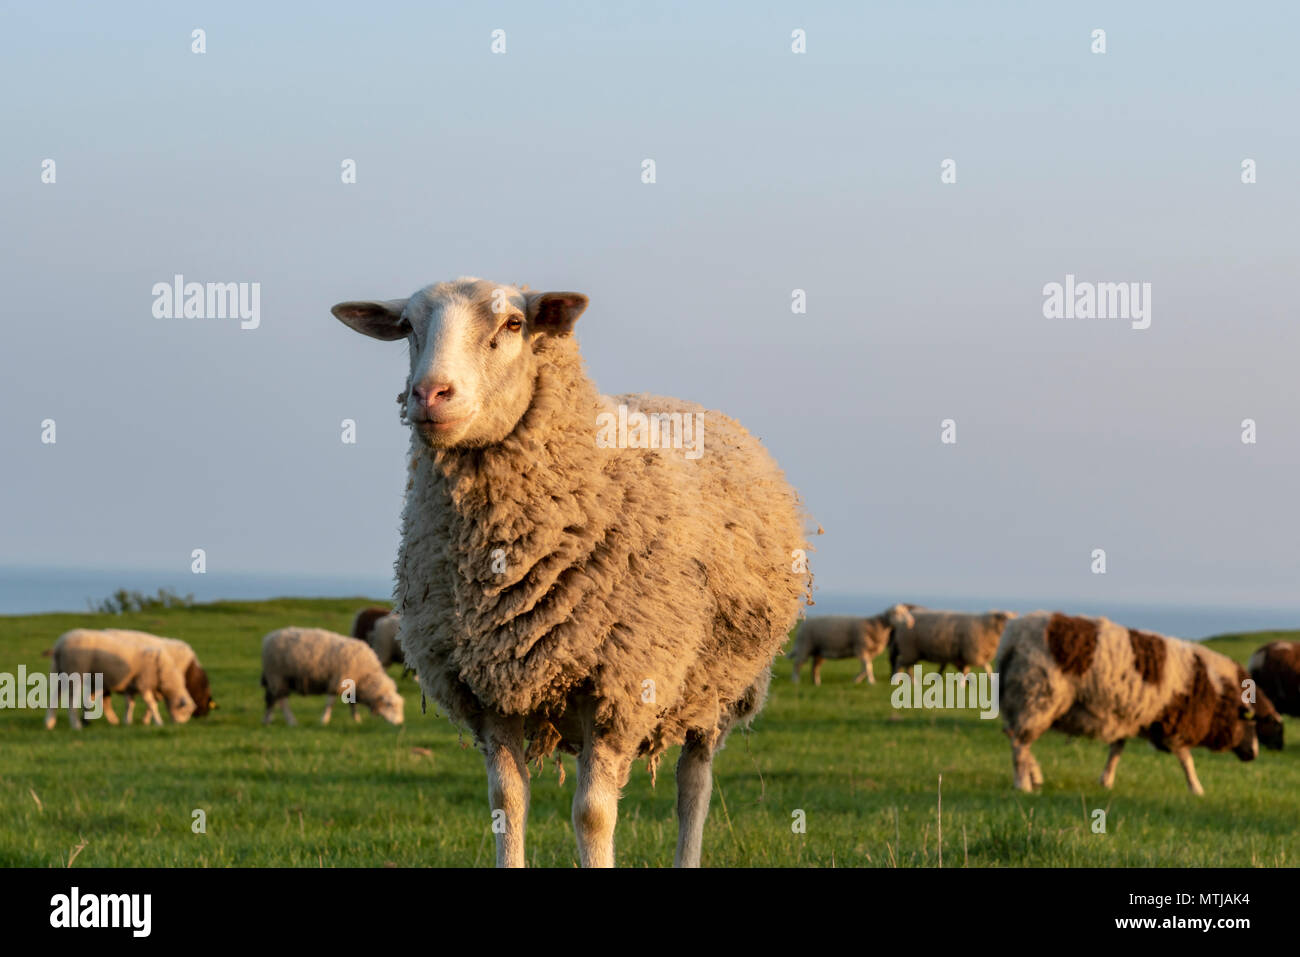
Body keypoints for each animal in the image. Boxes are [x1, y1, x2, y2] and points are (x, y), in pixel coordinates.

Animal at [43, 629, 202, 729]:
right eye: (186, 712)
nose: (179, 725)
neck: (163, 671)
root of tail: (59, 646)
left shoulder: (132, 685)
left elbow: (129, 704)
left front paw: (127, 721)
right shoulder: (143, 683)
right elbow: (151, 704)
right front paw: (158, 722)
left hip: (60, 672)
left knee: (55, 697)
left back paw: (49, 723)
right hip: (76, 672)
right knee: (72, 700)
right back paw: (76, 725)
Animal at [260, 627, 405, 726]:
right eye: (390, 705)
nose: (399, 723)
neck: (366, 675)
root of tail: (268, 638)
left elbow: (352, 704)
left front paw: (356, 719)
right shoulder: (338, 680)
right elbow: (330, 703)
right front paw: (324, 720)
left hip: (276, 679)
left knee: (271, 699)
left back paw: (267, 720)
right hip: (278, 675)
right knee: (282, 701)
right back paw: (291, 722)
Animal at [332, 277, 812, 868]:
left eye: (514, 324)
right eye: (407, 327)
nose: (430, 394)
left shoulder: (619, 688)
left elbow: (593, 814)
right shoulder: (490, 690)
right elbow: (506, 802)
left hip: (717, 687)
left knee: (693, 786)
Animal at [888, 609, 1017, 679]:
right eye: (1005, 617)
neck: (987, 627)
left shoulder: (967, 655)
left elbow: (970, 669)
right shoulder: (973, 653)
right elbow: (987, 667)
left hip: (913, 651)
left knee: (907, 666)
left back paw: (911, 681)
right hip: (909, 648)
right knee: (900, 663)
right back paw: (897, 679)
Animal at [998, 612, 1285, 795]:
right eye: (1252, 723)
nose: (1254, 754)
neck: (1217, 689)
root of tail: (1012, 638)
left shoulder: (1128, 718)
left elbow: (1116, 750)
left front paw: (1106, 781)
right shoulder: (1174, 725)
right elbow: (1187, 760)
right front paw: (1197, 789)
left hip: (1023, 699)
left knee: (1017, 739)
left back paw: (1034, 776)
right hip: (1037, 696)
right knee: (1020, 744)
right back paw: (1022, 784)